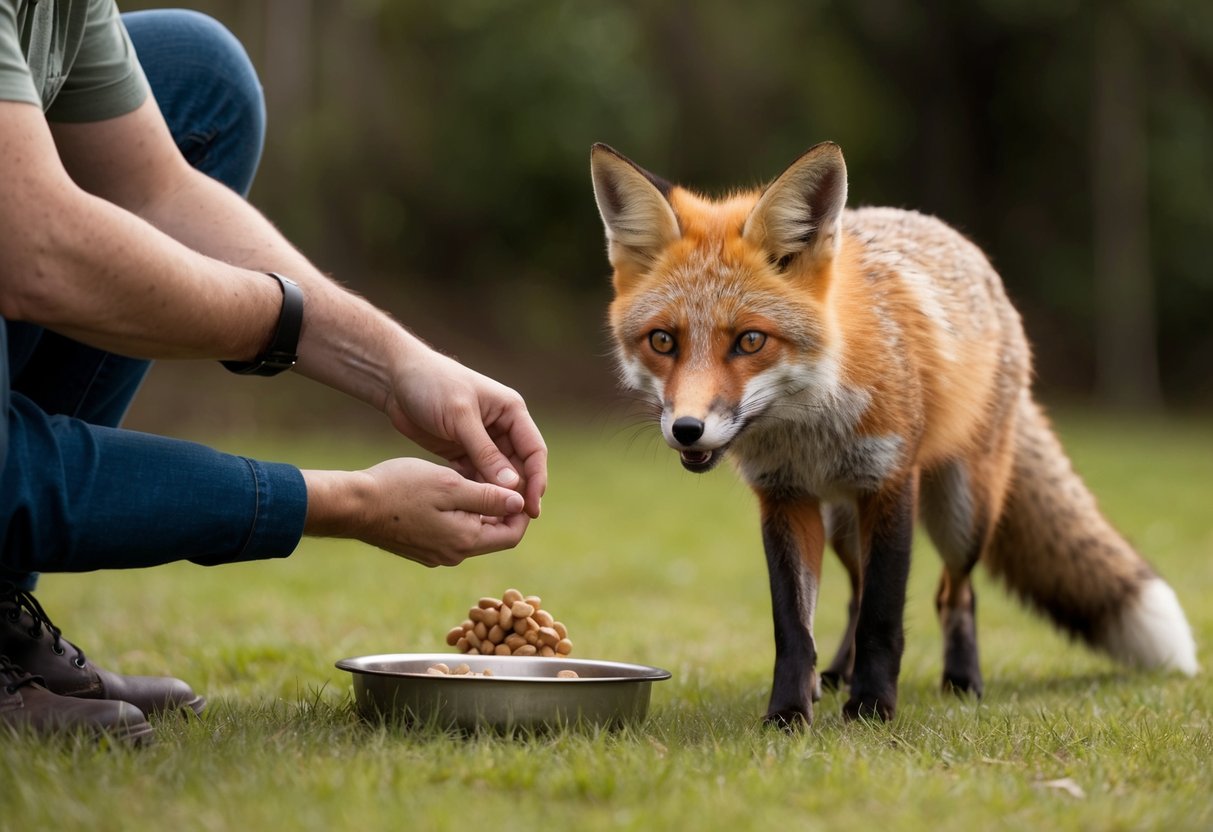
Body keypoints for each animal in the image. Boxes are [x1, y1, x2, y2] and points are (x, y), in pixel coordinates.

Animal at [590, 140, 1198, 728]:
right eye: (663, 341)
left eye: (750, 341)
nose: (687, 430)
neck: (810, 427)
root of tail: (963, 245)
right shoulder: (785, 497)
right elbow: (795, 628)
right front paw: (788, 713)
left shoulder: (889, 484)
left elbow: (884, 618)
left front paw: (872, 709)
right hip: (842, 525)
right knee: (855, 596)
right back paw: (836, 675)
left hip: (961, 512)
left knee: (955, 592)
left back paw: (962, 681)